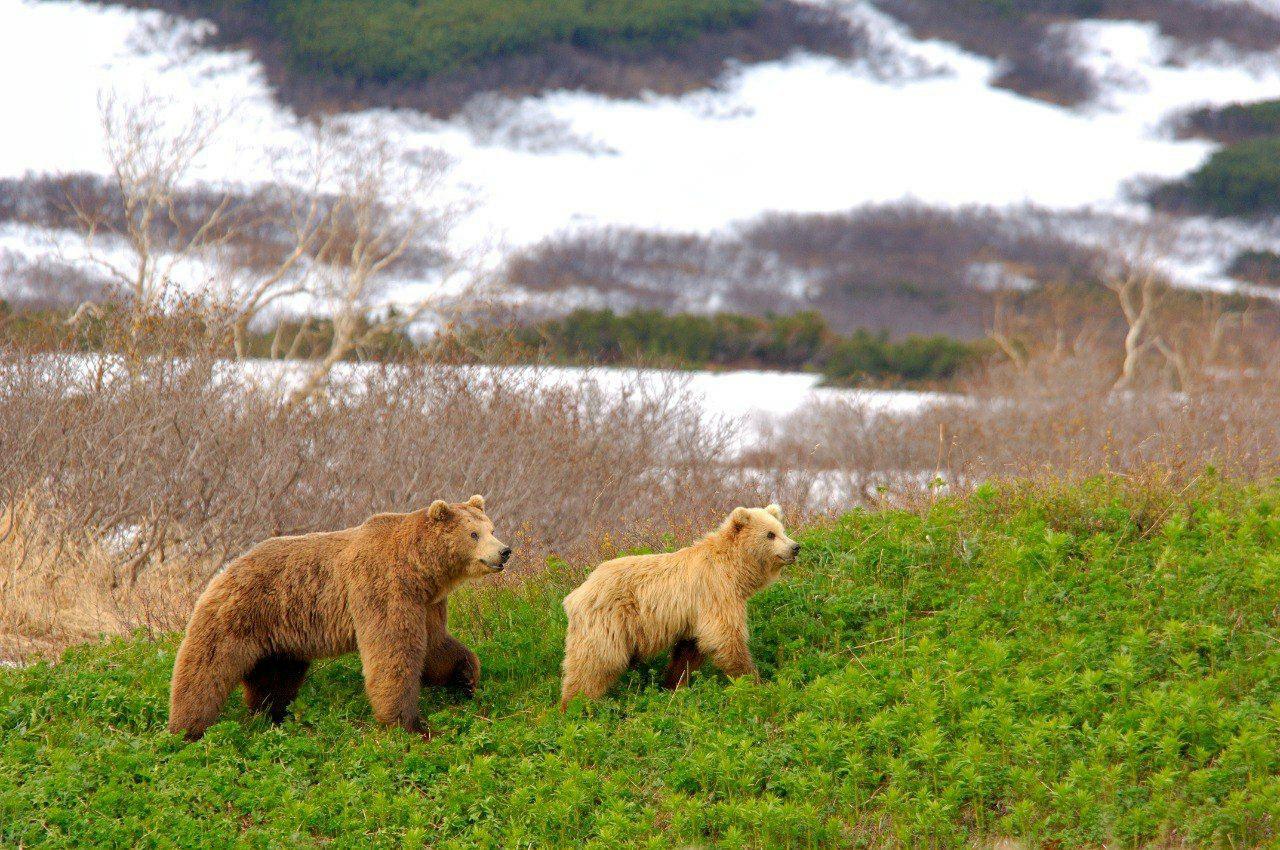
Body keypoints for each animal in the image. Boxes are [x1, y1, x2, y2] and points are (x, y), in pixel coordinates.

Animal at [167, 494, 506, 742]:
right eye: (473, 534)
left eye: (491, 528)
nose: (504, 551)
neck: (419, 570)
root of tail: (225, 569)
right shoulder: (382, 587)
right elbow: (393, 653)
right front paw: (410, 723)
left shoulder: (426, 603)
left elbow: (435, 646)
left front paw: (466, 678)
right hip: (238, 615)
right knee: (205, 668)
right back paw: (186, 729)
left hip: (281, 636)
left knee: (275, 678)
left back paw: (271, 715)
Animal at [563, 504, 798, 701]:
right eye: (770, 534)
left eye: (782, 530)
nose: (795, 547)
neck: (735, 570)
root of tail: (576, 593)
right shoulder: (715, 593)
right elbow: (725, 637)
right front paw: (754, 681)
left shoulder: (694, 615)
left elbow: (688, 652)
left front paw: (673, 685)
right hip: (608, 621)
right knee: (595, 662)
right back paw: (576, 705)